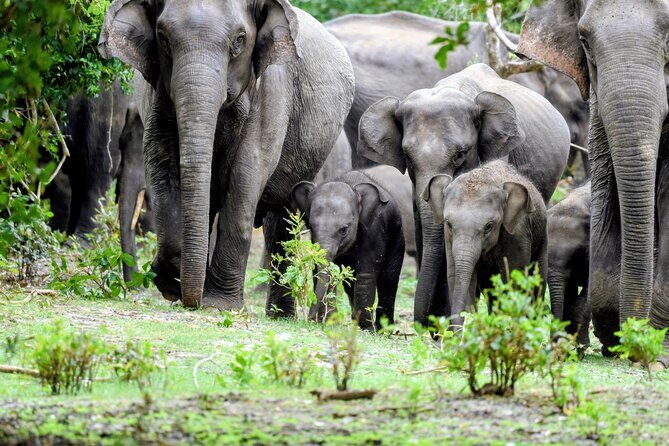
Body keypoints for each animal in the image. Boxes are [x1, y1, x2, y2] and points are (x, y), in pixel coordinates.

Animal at [99, 0, 355, 312]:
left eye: (239, 41)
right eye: (162, 37)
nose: (189, 300)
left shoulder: (271, 91)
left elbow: (247, 171)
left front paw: (218, 305)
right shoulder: (156, 95)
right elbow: (162, 165)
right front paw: (170, 283)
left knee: (282, 220)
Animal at [291, 171, 405, 329]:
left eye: (343, 230)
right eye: (311, 228)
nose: (310, 318)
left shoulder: (375, 228)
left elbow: (366, 274)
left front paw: (367, 329)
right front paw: (330, 322)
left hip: (397, 237)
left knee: (388, 279)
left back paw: (383, 329)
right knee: (349, 282)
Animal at [429, 160, 548, 328]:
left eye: (489, 226)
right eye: (449, 224)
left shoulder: (518, 232)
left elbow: (514, 278)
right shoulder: (448, 237)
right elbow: (458, 275)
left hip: (542, 237)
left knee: (538, 280)